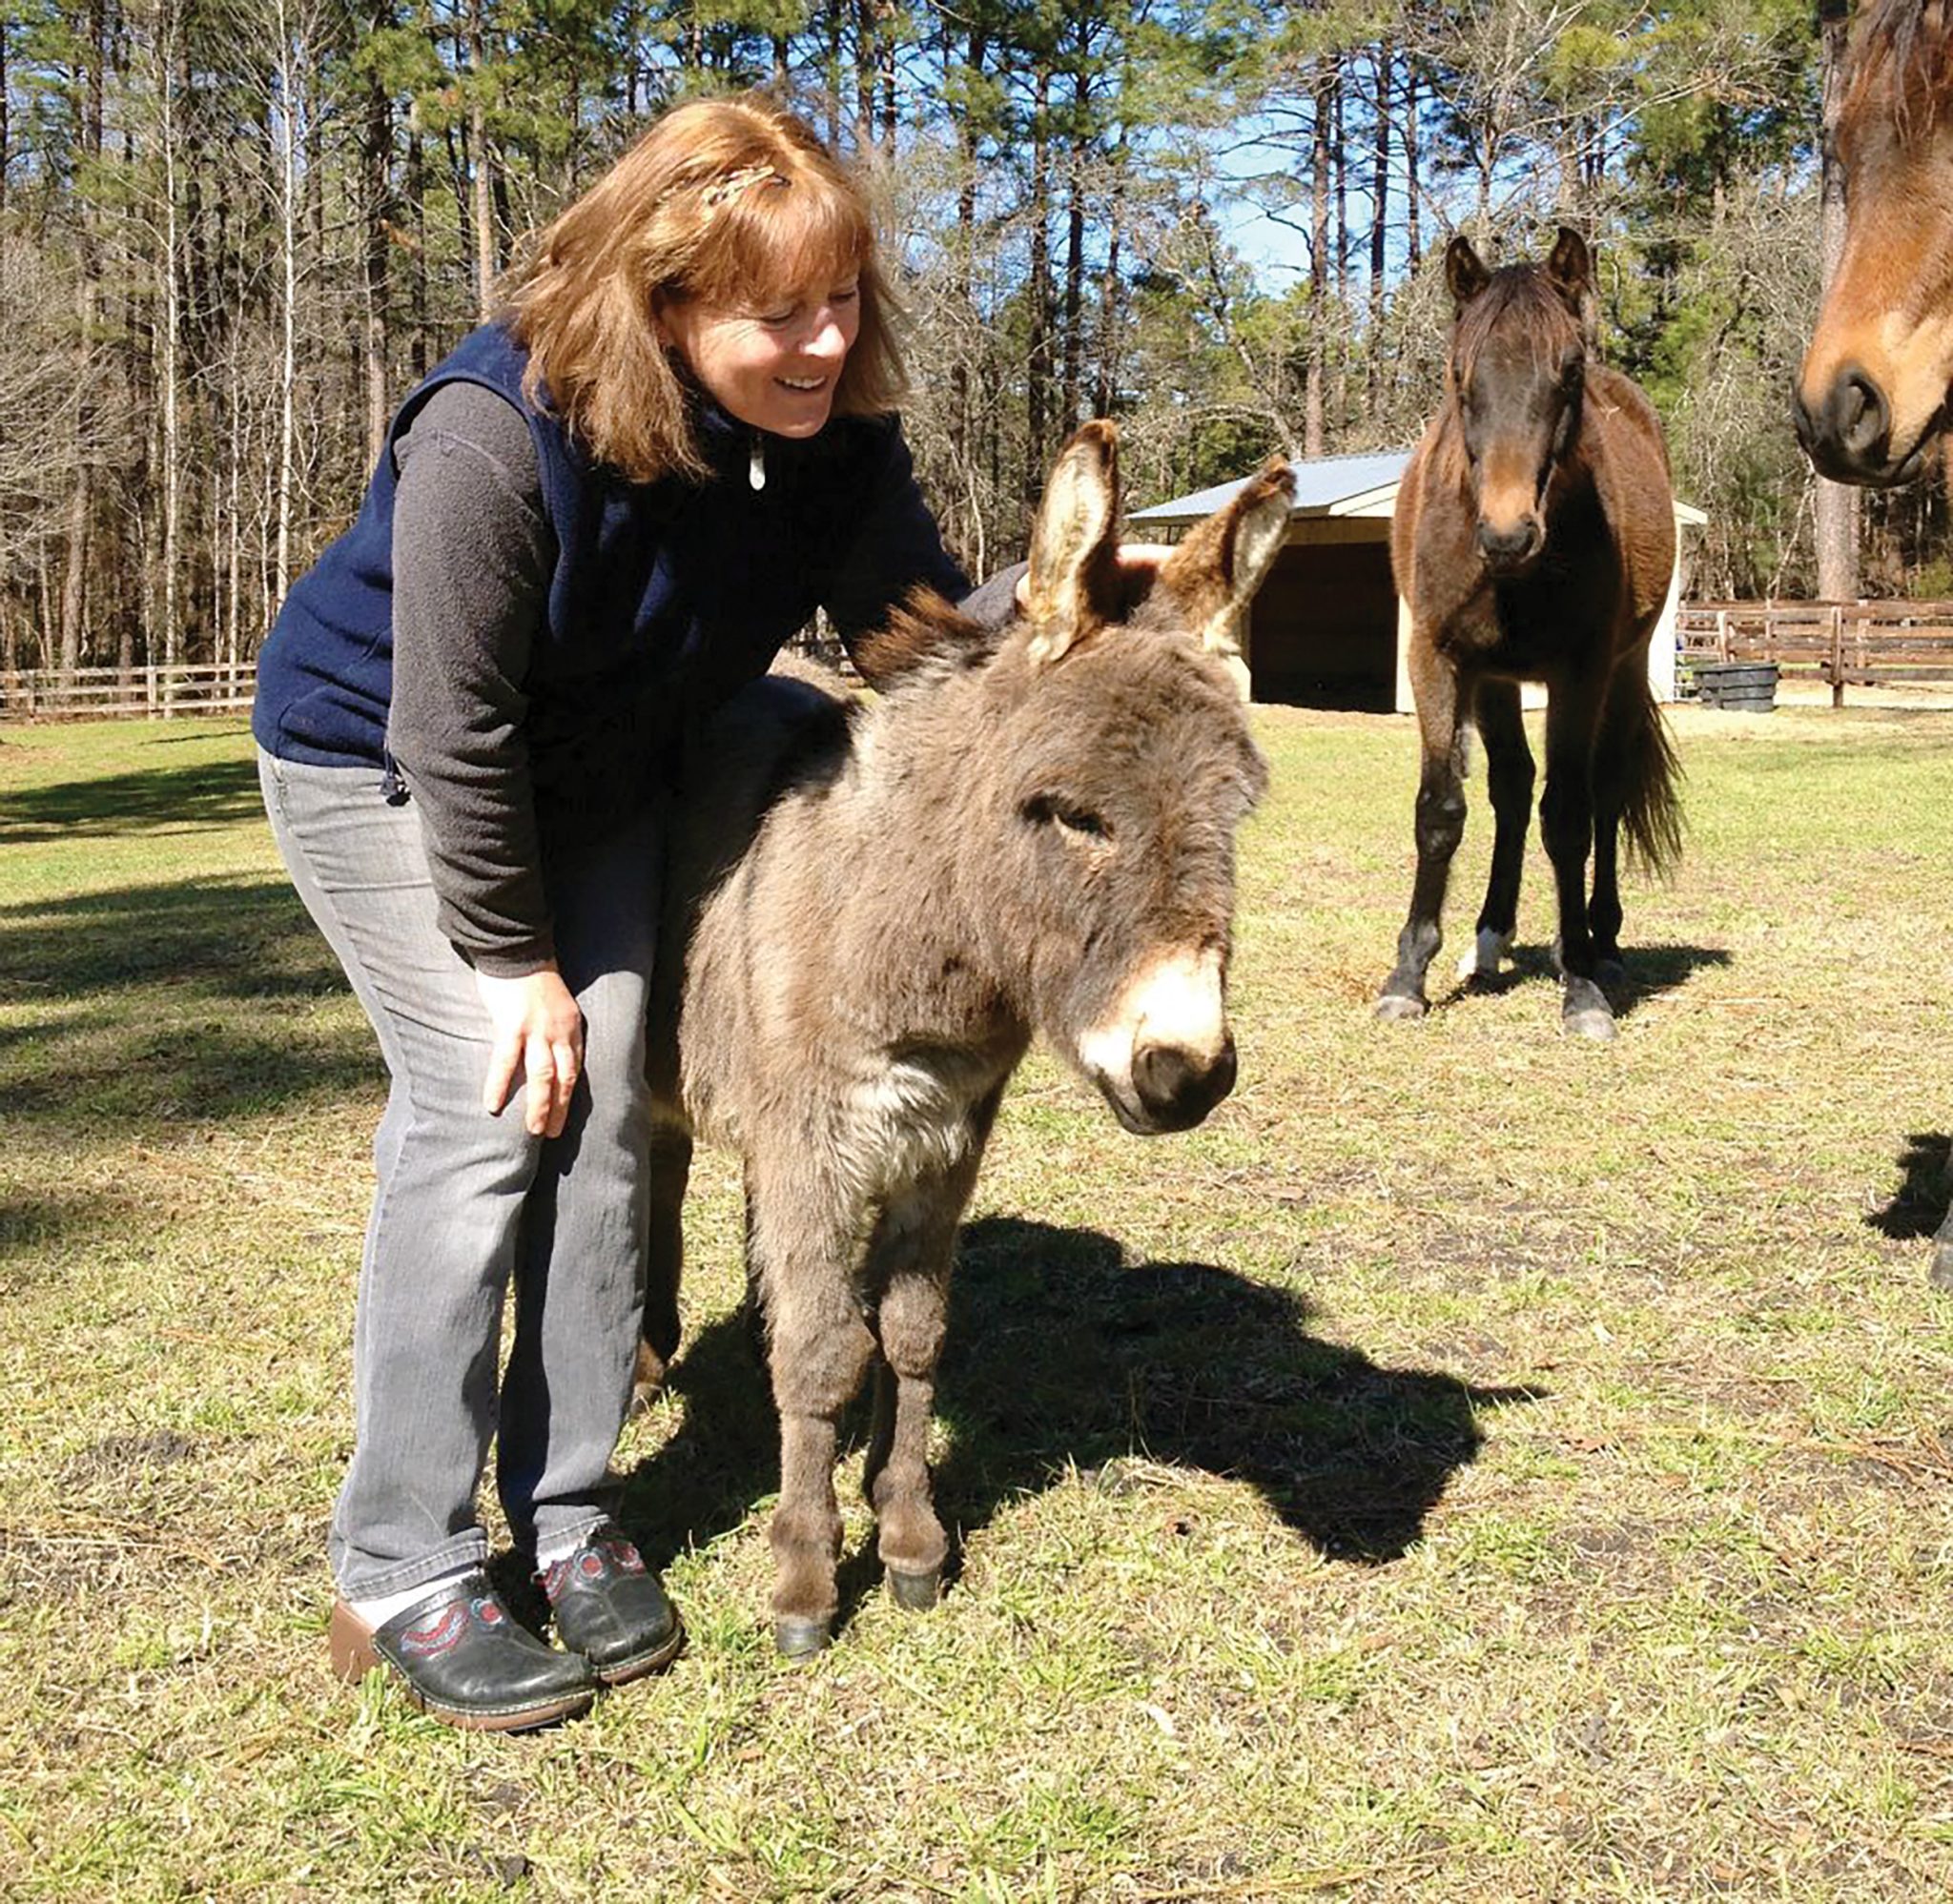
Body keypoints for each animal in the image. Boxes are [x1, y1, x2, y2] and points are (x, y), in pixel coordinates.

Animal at [635, 422, 1294, 1656]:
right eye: (1068, 812)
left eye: (1232, 813)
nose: (1185, 1072)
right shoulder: (815, 1147)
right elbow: (823, 1353)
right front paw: (804, 1578)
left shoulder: (939, 1145)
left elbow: (910, 1334)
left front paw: (906, 1539)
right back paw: (647, 1363)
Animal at [1376, 226, 1683, 1042]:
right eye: (1459, 374)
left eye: (1568, 371)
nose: (1508, 533)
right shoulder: (1439, 660)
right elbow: (1441, 811)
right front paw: (1408, 975)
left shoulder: (1581, 671)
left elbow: (1569, 816)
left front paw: (1580, 985)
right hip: (1498, 683)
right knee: (1511, 791)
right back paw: (1488, 943)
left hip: (1623, 672)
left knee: (1603, 792)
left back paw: (1604, 942)